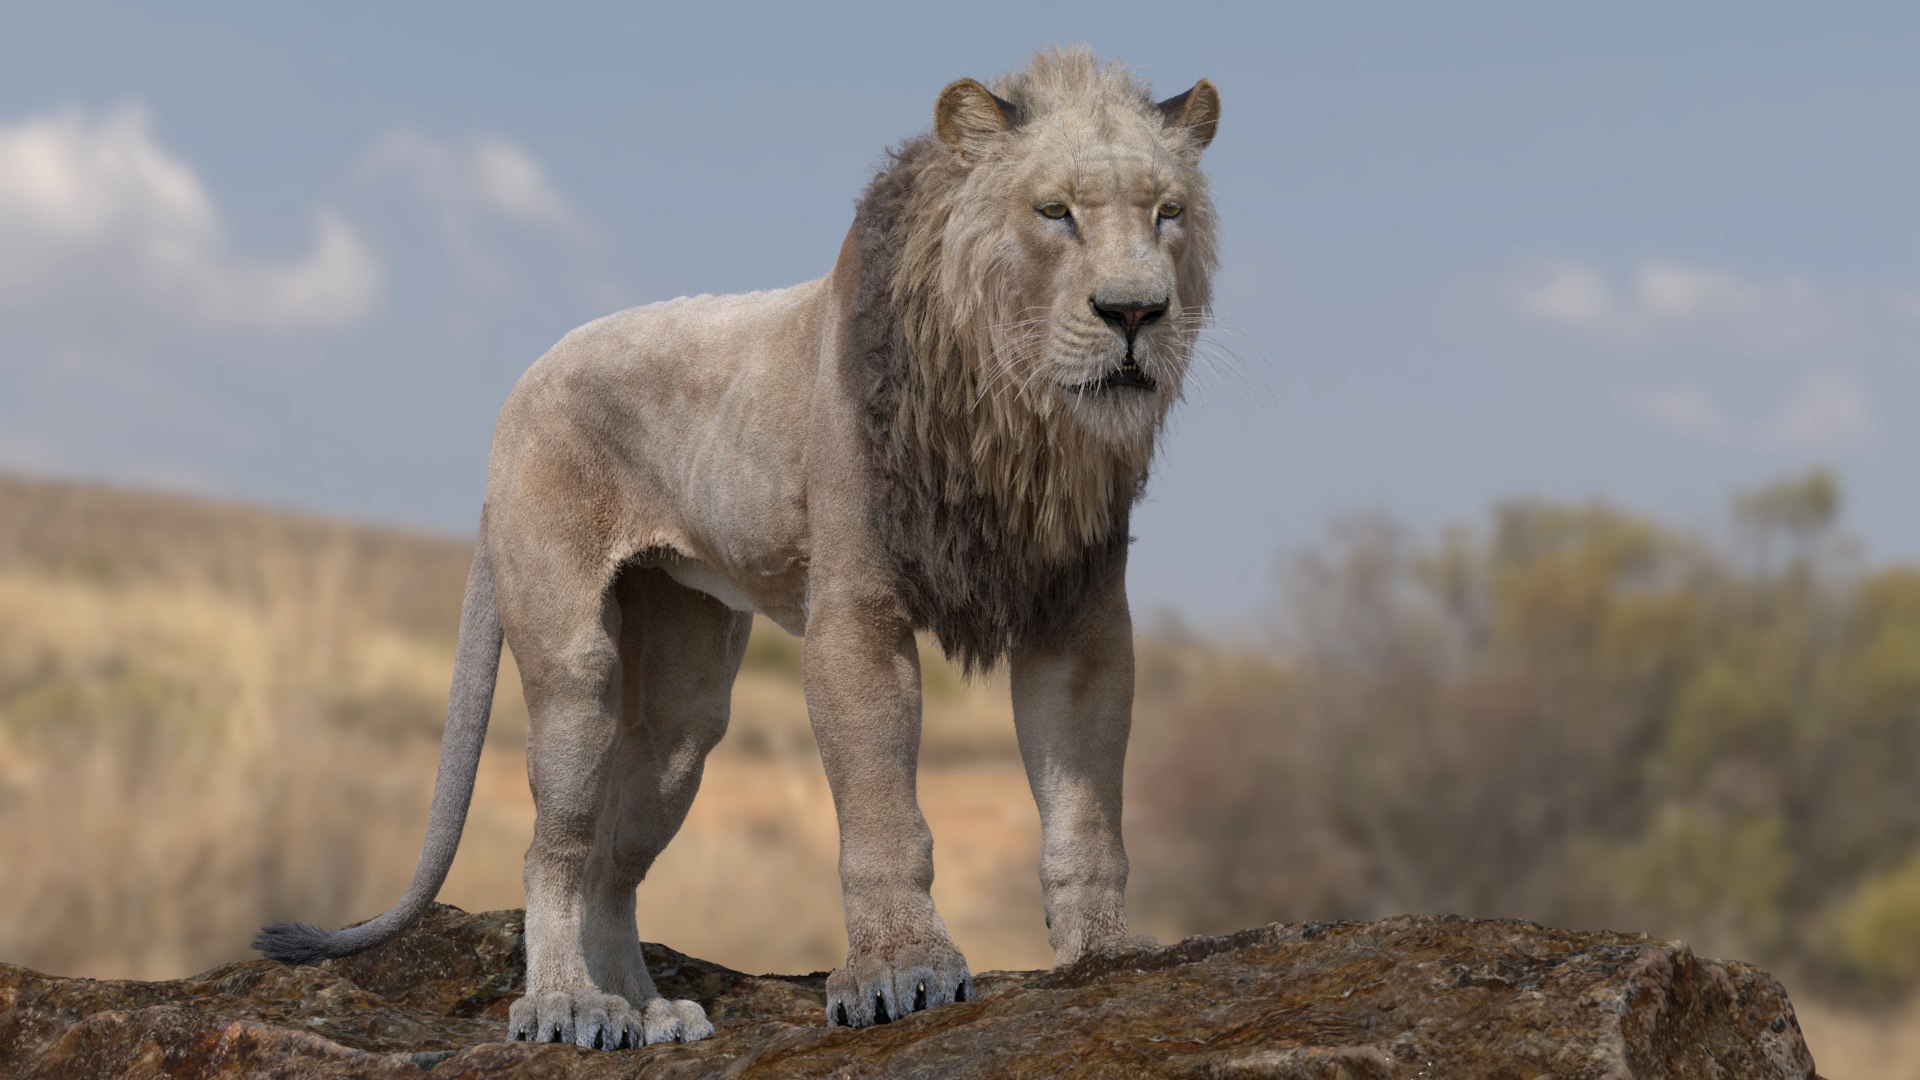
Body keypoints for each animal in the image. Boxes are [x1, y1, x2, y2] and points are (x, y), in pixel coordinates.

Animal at [255, 46, 1222, 1049]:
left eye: (1168, 213)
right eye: (1055, 211)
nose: (1135, 313)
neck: (1019, 422)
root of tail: (520, 387)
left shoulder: (1080, 618)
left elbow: (1087, 814)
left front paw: (1105, 952)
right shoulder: (856, 613)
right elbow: (882, 812)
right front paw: (898, 970)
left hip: (683, 707)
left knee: (614, 859)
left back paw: (650, 1015)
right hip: (572, 656)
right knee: (553, 847)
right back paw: (568, 1004)